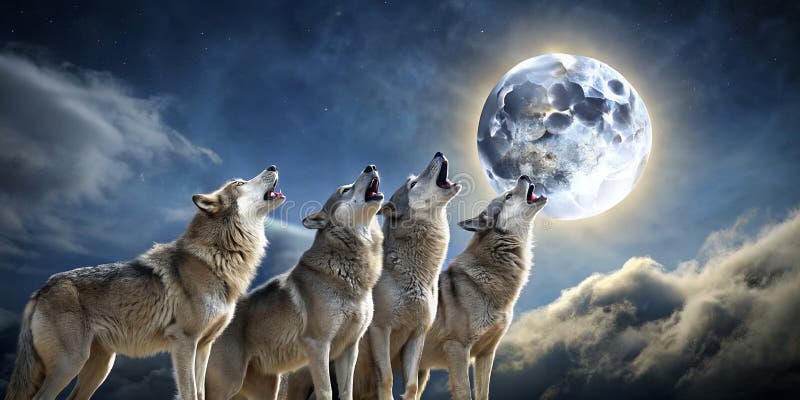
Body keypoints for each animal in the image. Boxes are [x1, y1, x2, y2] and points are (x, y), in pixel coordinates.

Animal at [5, 166, 286, 400]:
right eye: (239, 183)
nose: (273, 166)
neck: (217, 256)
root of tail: (42, 289)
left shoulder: (204, 346)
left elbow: (200, 392)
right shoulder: (184, 341)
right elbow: (189, 393)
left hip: (100, 367)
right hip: (70, 363)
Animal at [204, 165, 385, 400]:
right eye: (346, 189)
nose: (371, 166)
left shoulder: (349, 349)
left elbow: (347, 392)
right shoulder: (318, 346)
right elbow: (326, 391)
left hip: (267, 389)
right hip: (227, 386)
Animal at [283, 152, 462, 400]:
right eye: (413, 184)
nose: (438, 153)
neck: (419, 273)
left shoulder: (417, 334)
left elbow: (411, 386)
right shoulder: (380, 330)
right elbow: (386, 378)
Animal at [415, 175, 547, 400]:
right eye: (508, 195)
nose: (524, 176)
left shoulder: (486, 353)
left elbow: (483, 393)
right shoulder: (457, 348)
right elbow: (465, 393)